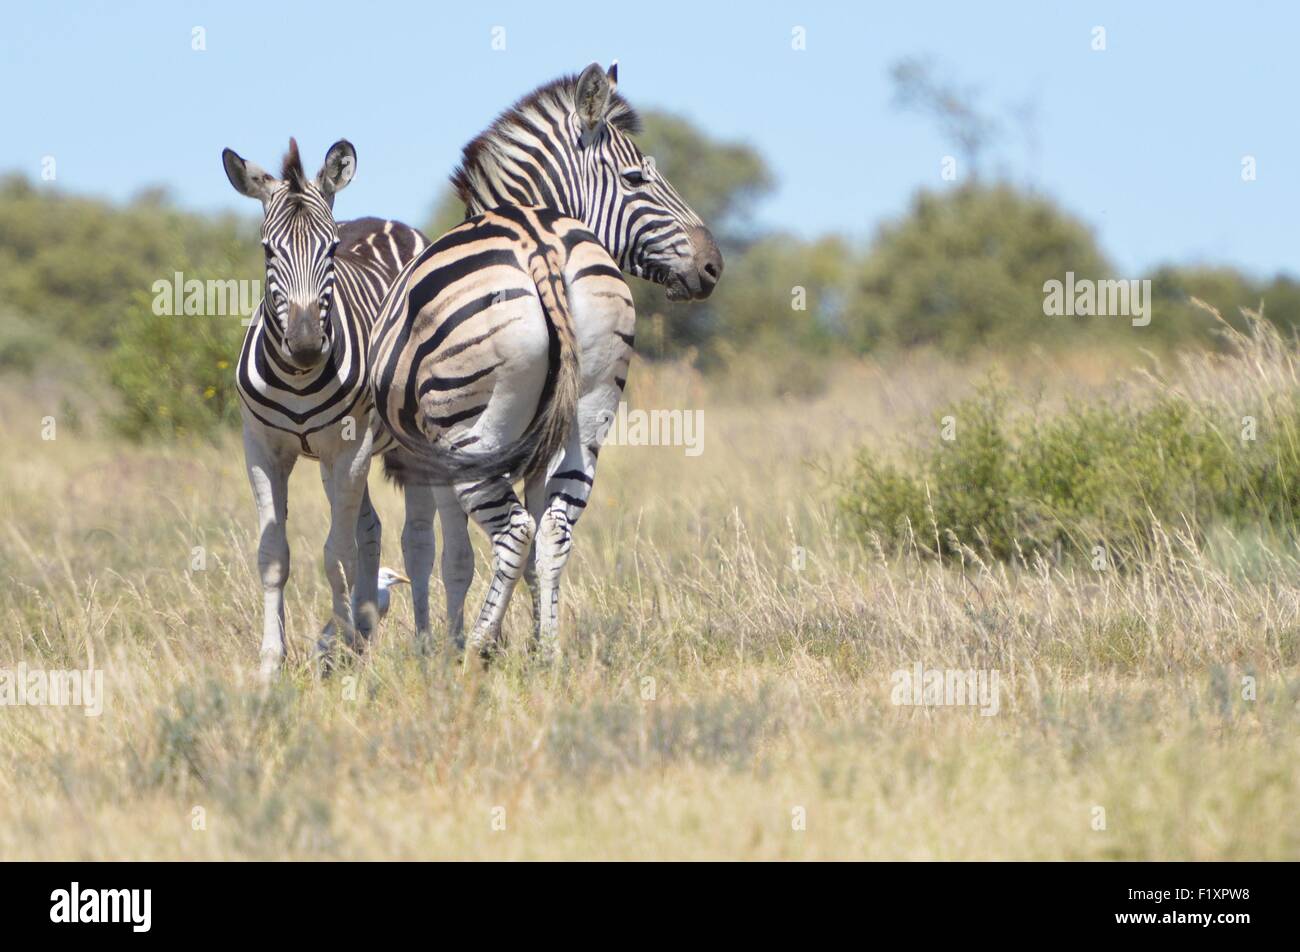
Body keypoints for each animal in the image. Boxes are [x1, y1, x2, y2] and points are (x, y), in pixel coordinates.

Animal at [222, 138, 428, 679]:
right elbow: (274, 554)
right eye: (267, 249)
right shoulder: (262, 449)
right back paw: (363, 628)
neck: (298, 378)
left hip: (408, 445)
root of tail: (387, 221)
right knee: (371, 530)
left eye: (331, 249)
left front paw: (336, 655)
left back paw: (427, 641)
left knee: (420, 540)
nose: (305, 345)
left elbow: (336, 555)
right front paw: (271, 663)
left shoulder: (347, 451)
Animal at [370, 62, 722, 660]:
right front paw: (537, 636)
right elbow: (533, 550)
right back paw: (551, 654)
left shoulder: (434, 460)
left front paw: (456, 644)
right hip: (592, 407)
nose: (713, 266)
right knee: (554, 529)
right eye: (635, 179)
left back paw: (478, 649)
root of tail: (540, 244)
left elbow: (452, 556)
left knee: (514, 532)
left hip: (470, 432)